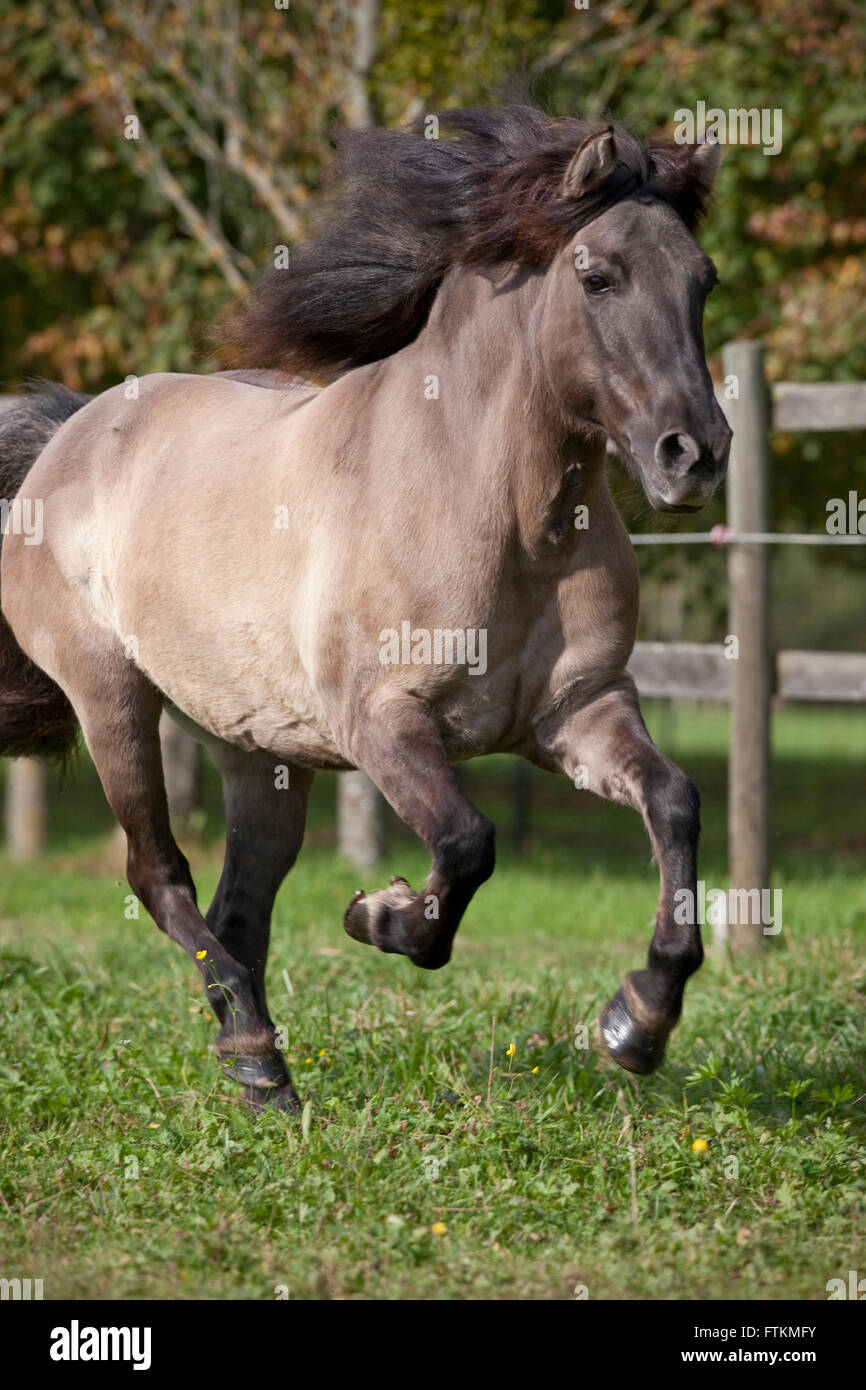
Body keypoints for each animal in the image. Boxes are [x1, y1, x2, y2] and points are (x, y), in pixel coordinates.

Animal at [0, 105, 731, 1109]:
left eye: (704, 279)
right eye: (598, 275)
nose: (694, 456)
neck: (504, 517)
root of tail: (65, 438)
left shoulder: (579, 710)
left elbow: (675, 802)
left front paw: (638, 1021)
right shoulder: (382, 722)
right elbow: (468, 842)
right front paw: (379, 916)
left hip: (260, 749)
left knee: (240, 905)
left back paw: (254, 1063)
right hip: (111, 698)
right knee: (160, 874)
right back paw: (261, 1055)